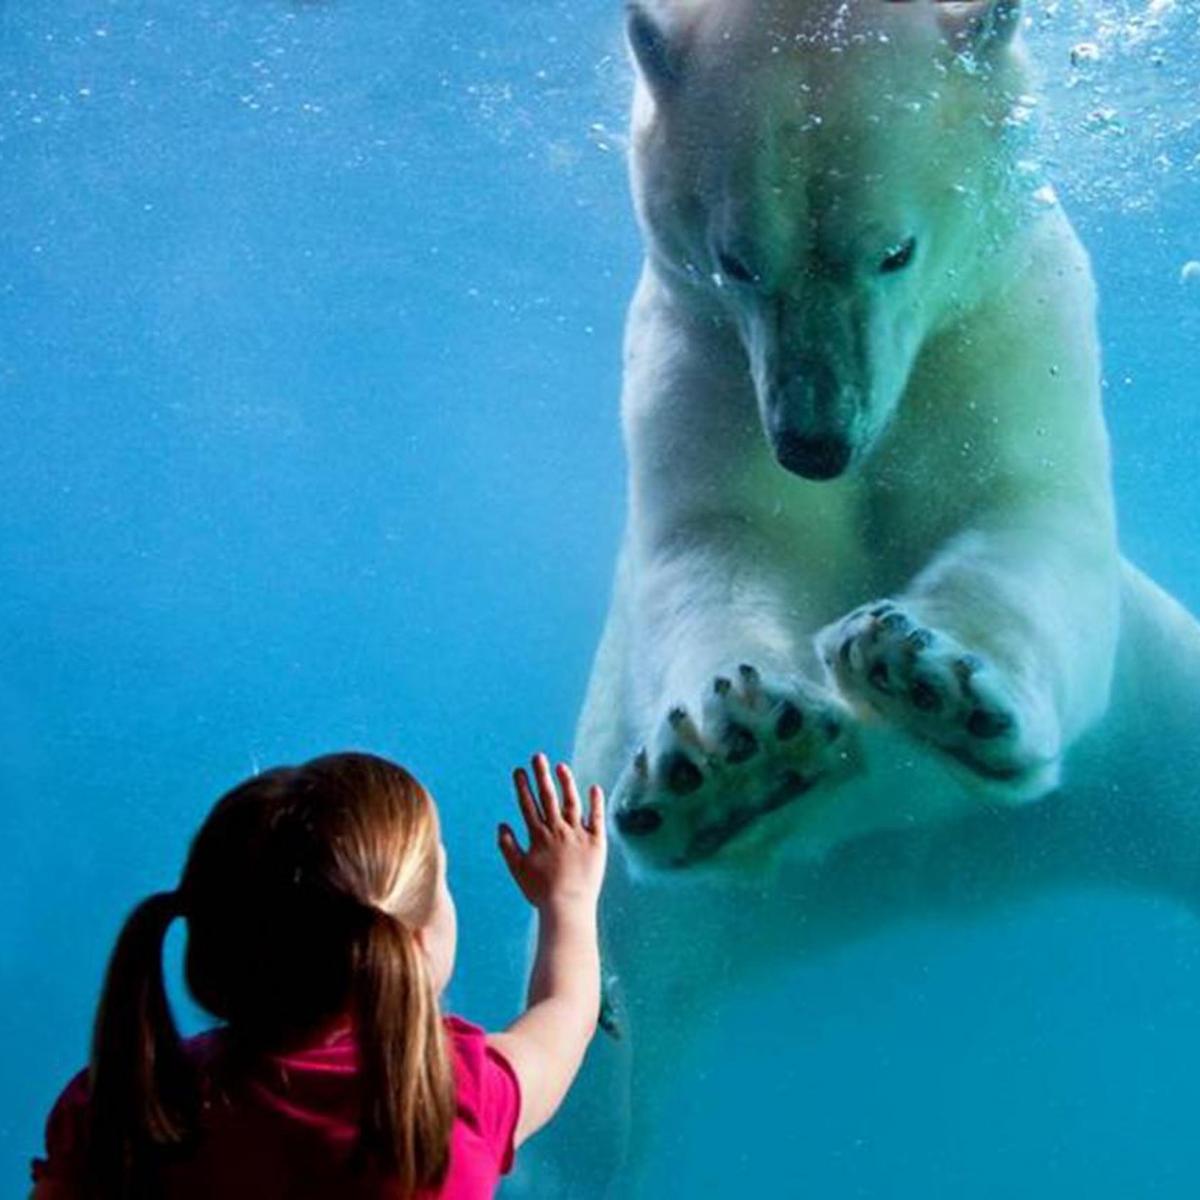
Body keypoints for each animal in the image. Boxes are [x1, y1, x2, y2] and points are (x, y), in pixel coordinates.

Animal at [516, 0, 1200, 1194]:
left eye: (894, 249)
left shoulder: (1012, 321)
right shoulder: (697, 352)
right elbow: (721, 549)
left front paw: (930, 677)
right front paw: (734, 755)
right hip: (618, 925)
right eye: (738, 257)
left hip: (1162, 733)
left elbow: (1029, 519)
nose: (815, 443)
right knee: (593, 1084)